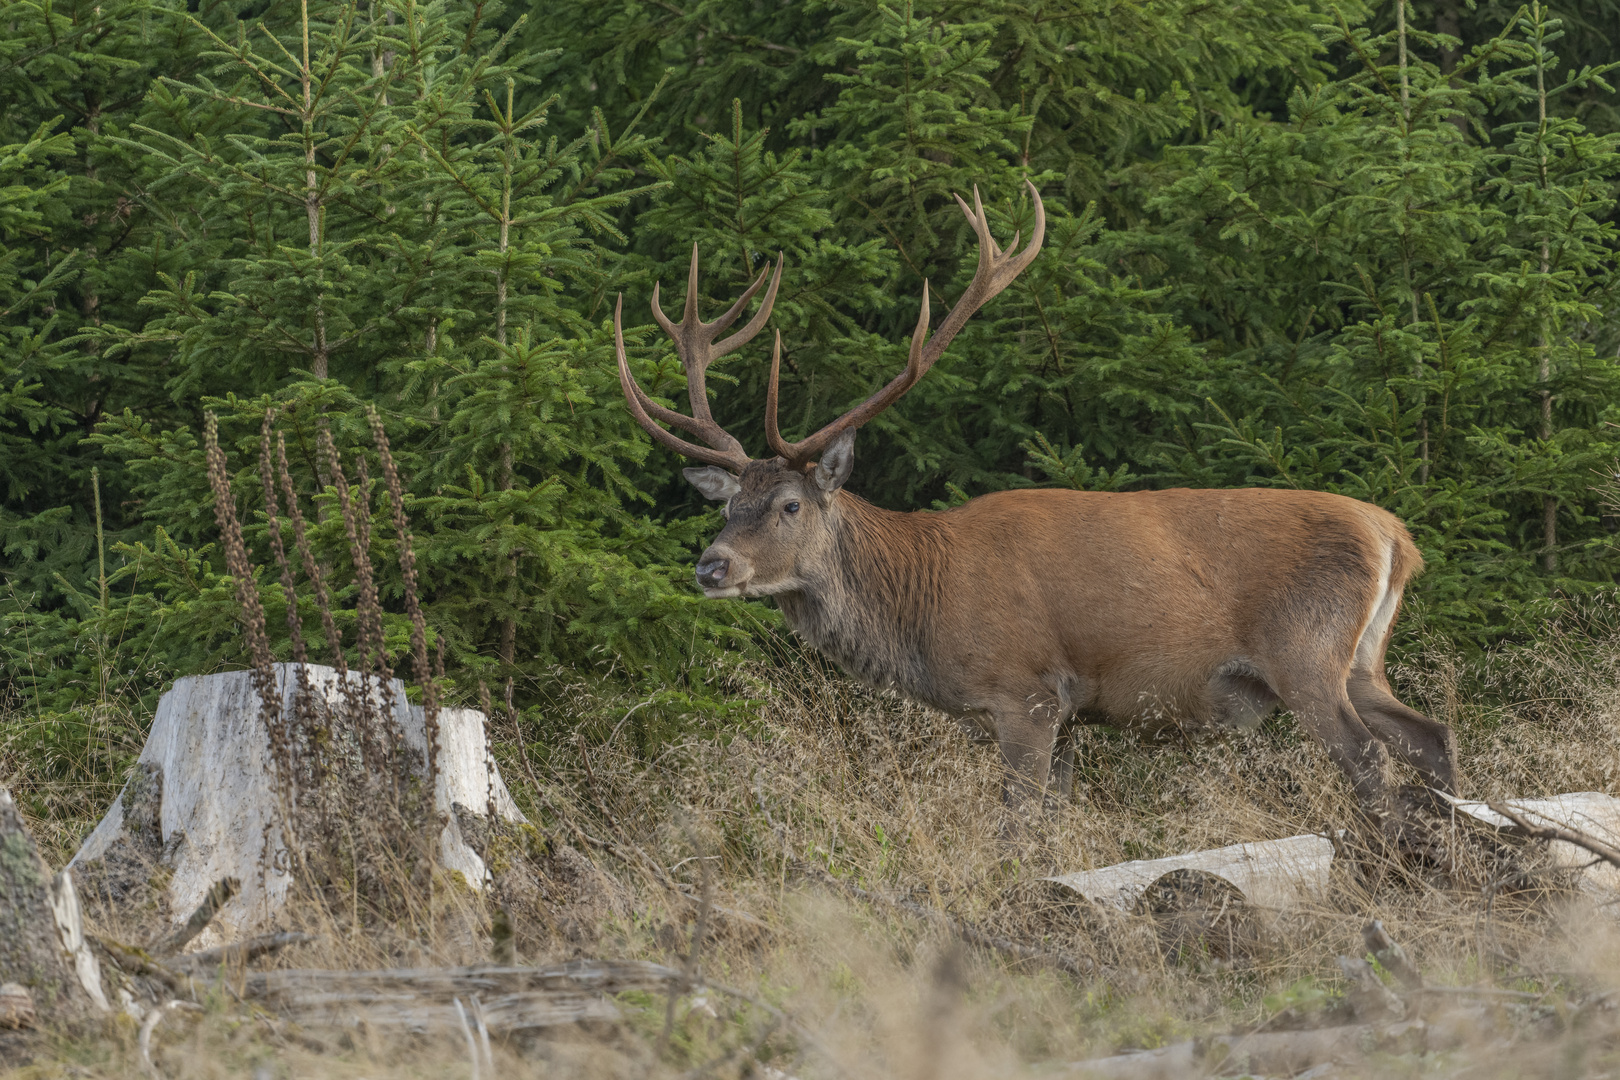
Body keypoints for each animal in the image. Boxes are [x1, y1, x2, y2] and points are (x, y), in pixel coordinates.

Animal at [614, 180, 1456, 836]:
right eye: (729, 504)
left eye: (789, 504)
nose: (711, 566)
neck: (923, 600)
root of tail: (1396, 536)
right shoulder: (1071, 715)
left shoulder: (1024, 692)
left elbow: (1015, 829)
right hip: (1362, 657)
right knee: (1429, 735)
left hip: (1305, 650)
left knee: (1369, 758)